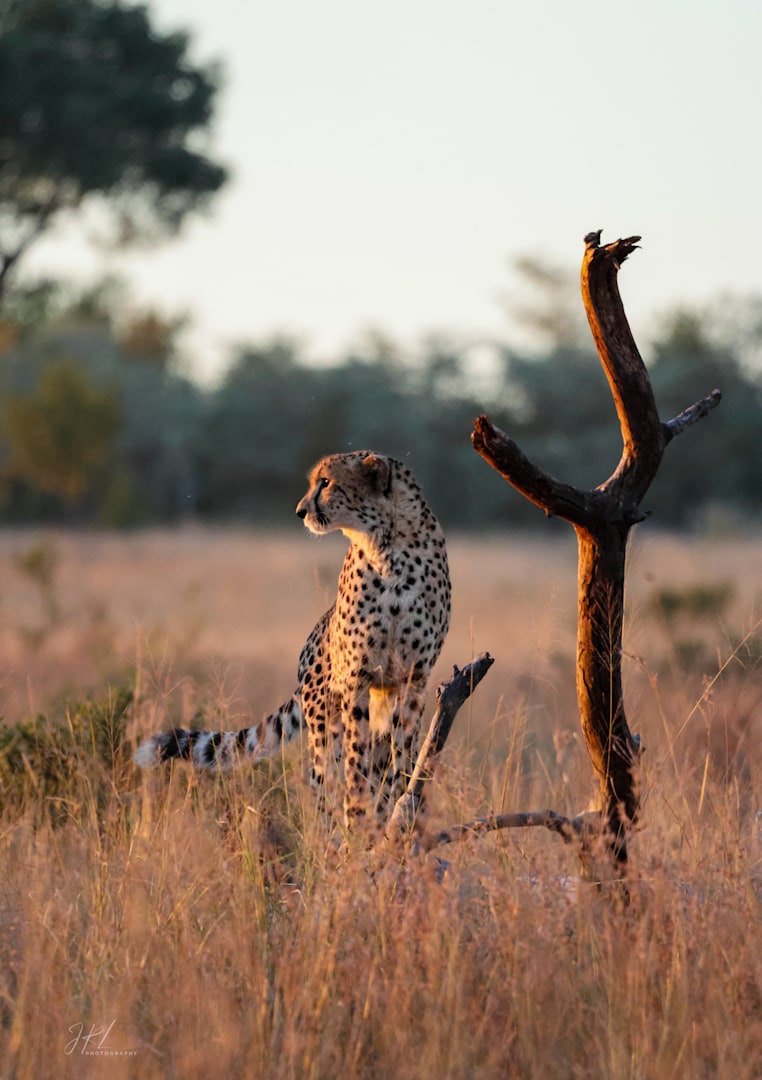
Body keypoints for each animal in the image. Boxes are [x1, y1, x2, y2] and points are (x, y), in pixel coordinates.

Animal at [134, 450, 451, 828]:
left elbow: (399, 756)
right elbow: (354, 765)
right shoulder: (356, 679)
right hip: (323, 719)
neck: (387, 549)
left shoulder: (412, 679)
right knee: (323, 783)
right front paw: (360, 815)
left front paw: (394, 806)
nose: (300, 510)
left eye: (326, 482)